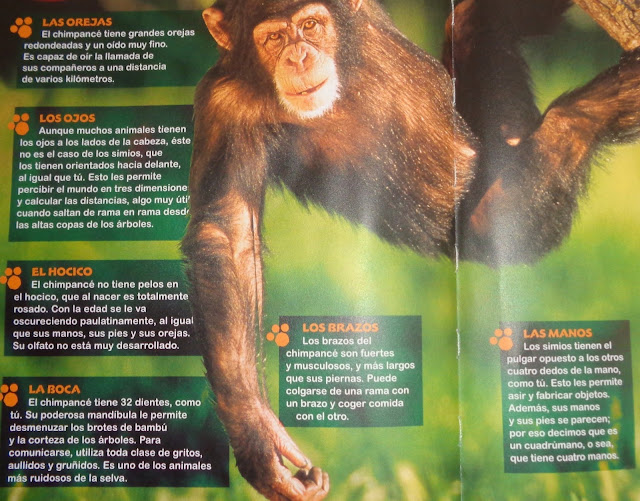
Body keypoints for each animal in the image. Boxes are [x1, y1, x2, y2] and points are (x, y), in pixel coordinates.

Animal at [181, 0, 640, 499]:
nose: (298, 56)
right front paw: (262, 443)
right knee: (567, 124)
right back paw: (618, 92)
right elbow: (227, 236)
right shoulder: (223, 106)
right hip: (508, 218)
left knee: (472, 23)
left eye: (310, 25)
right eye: (273, 38)